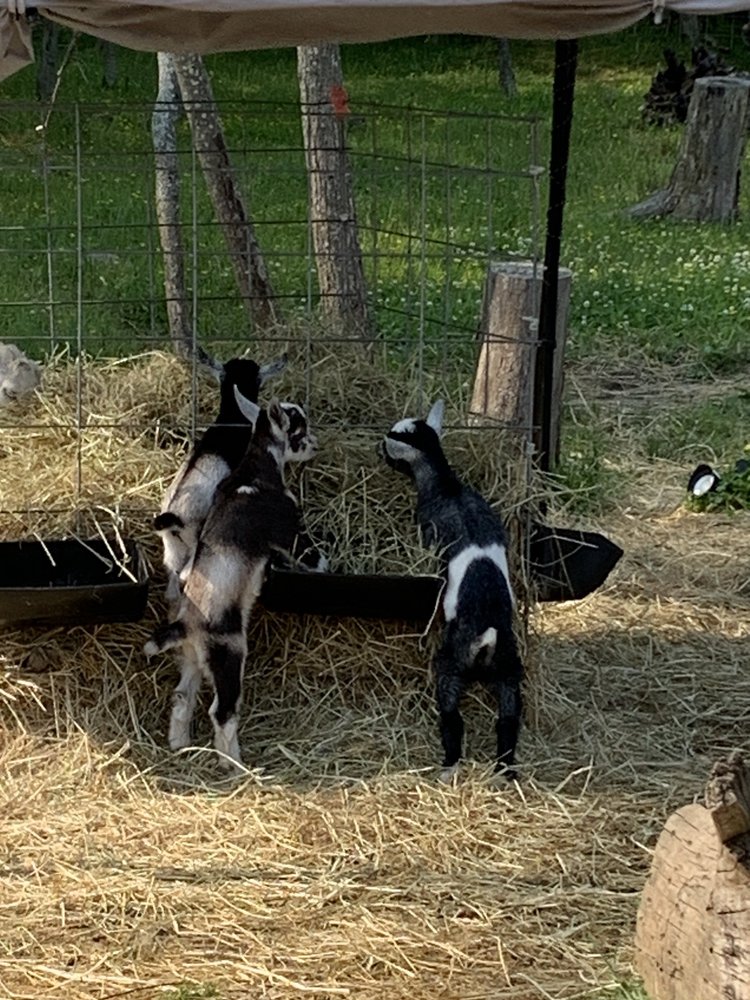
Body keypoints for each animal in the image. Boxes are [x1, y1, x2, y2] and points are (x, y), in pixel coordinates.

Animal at [145, 398, 318, 770]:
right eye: (299, 426)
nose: (316, 445)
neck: (253, 471)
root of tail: (185, 625)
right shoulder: (289, 531)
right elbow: (312, 555)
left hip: (192, 660)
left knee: (182, 696)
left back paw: (179, 743)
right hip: (229, 656)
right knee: (222, 711)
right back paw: (234, 764)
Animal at [382, 400, 523, 780]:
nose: (380, 451)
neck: (447, 486)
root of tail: (487, 636)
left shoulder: (428, 530)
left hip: (451, 664)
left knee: (451, 716)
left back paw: (449, 764)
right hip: (509, 669)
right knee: (509, 719)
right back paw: (504, 769)